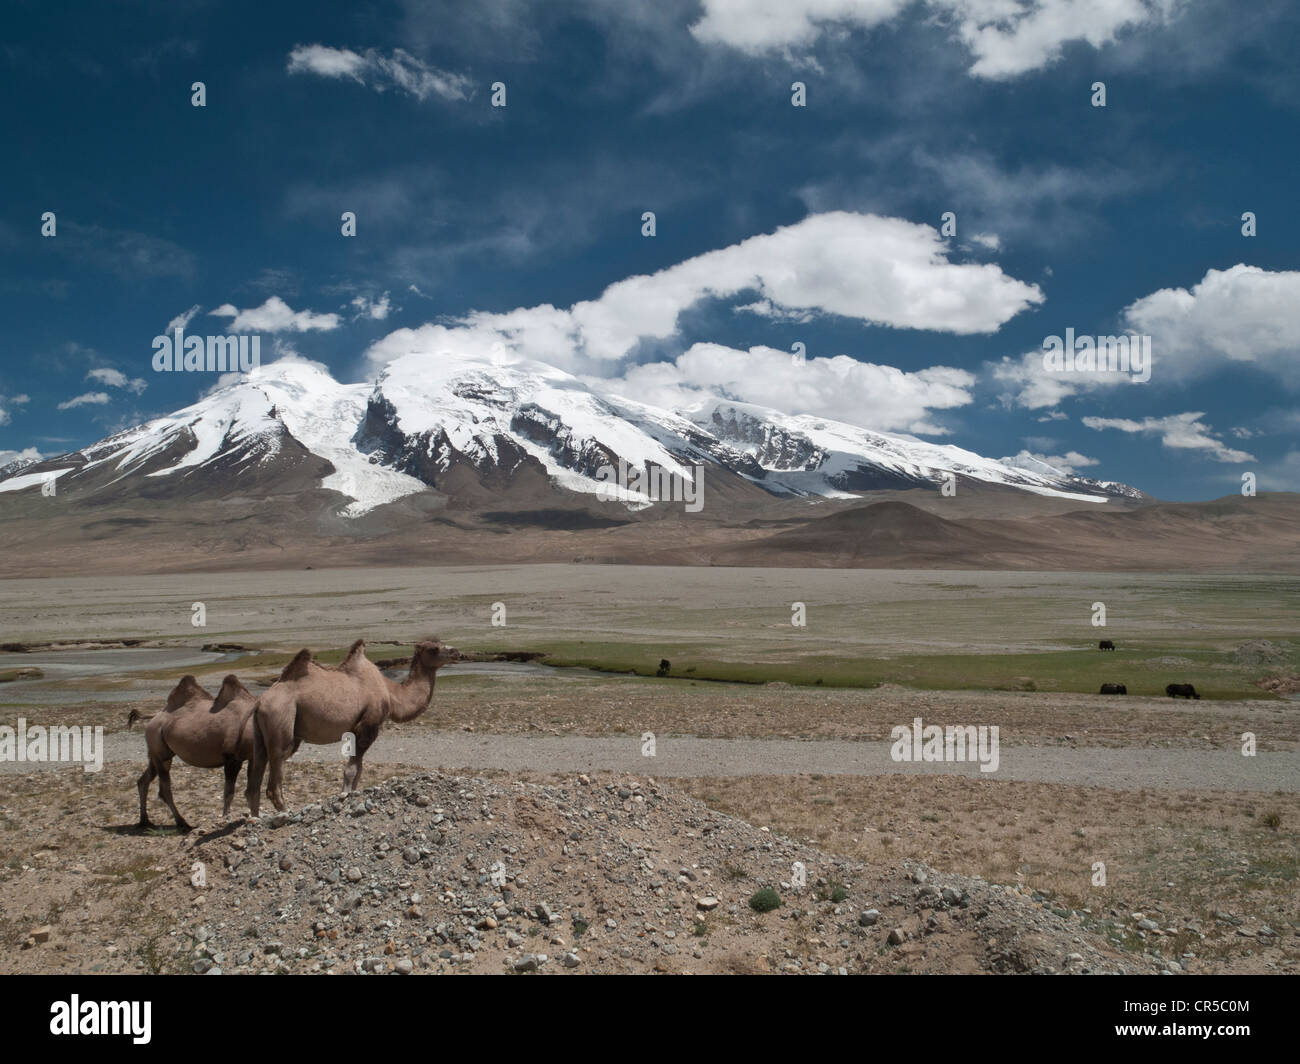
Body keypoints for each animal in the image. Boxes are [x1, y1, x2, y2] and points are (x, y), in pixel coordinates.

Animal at [130, 673, 257, 832]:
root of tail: (155, 716)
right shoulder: (232, 758)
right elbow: (229, 792)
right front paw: (224, 820)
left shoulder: (252, 756)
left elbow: (251, 790)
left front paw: (254, 816)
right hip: (158, 747)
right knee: (164, 788)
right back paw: (182, 822)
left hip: (156, 753)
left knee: (143, 780)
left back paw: (145, 821)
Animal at [245, 638, 459, 816]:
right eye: (433, 648)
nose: (456, 652)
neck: (390, 693)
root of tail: (260, 702)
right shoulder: (366, 726)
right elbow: (351, 770)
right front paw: (344, 797)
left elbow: (359, 770)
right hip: (281, 720)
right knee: (274, 776)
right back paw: (284, 811)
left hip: (261, 735)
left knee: (254, 780)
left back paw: (254, 818)